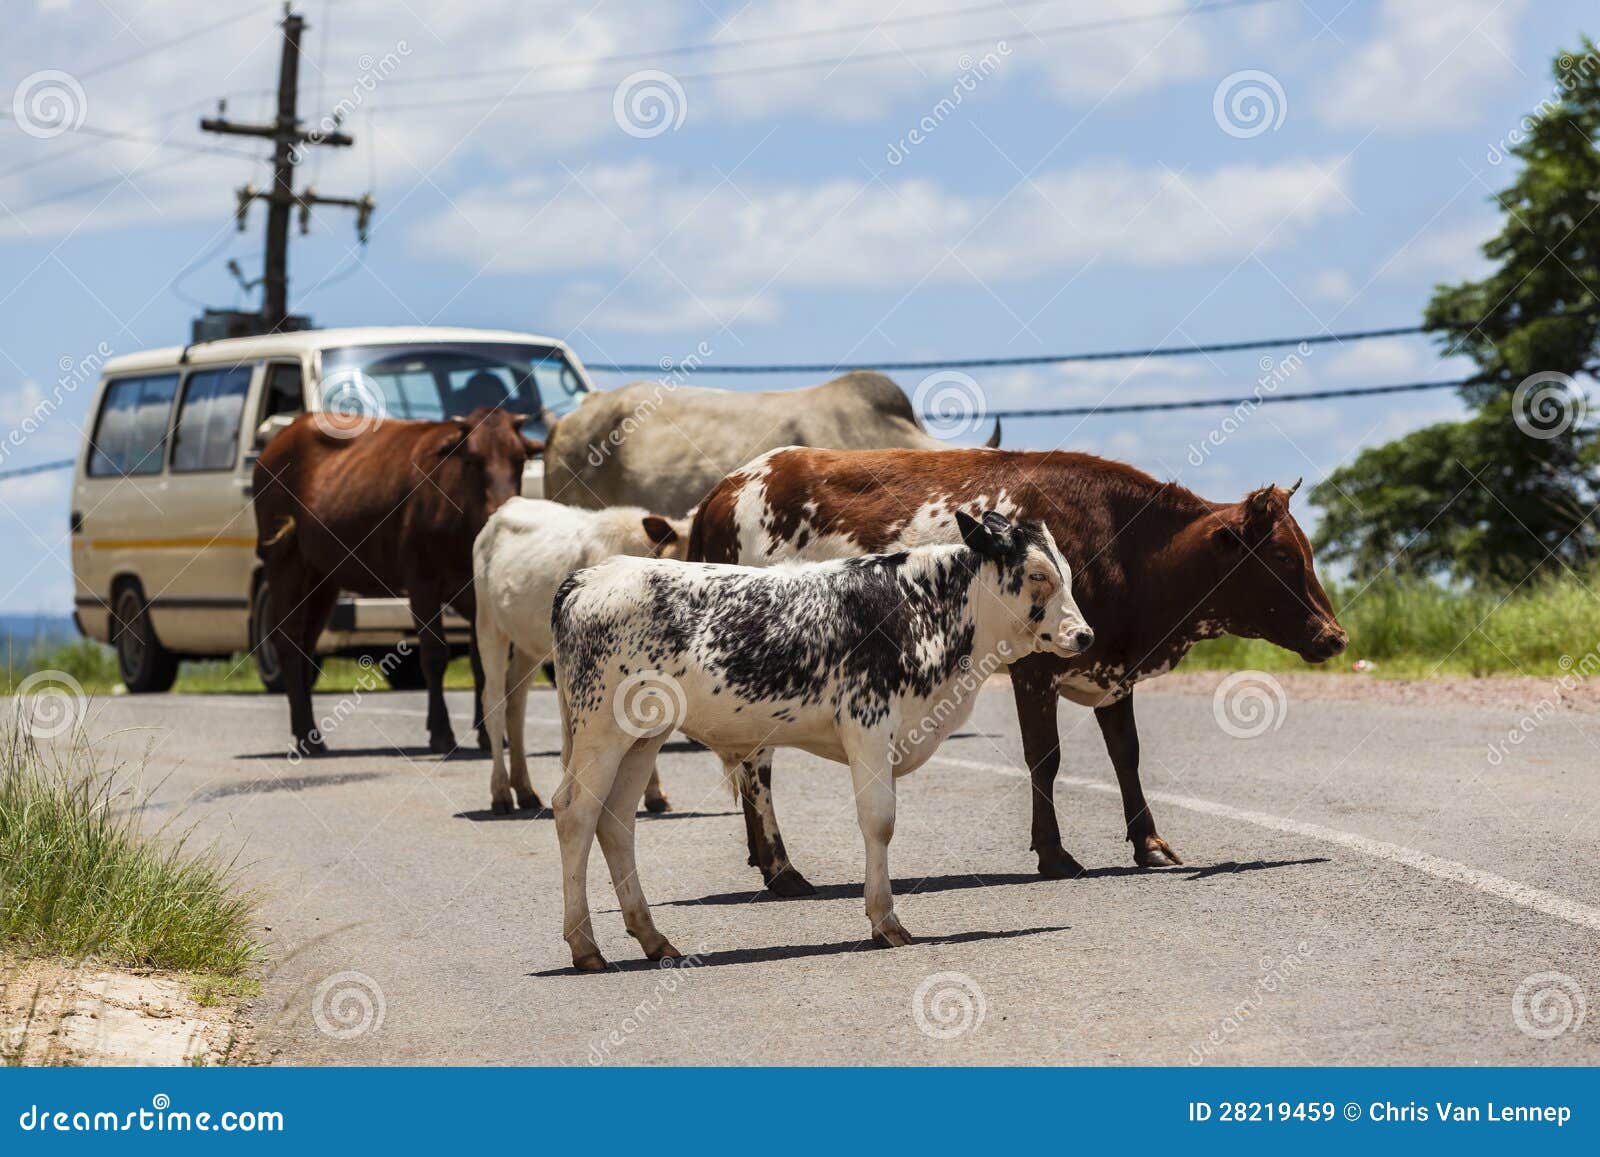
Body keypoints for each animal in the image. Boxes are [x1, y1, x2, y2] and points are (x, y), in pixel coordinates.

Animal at [253, 407, 539, 757]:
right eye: (472, 459)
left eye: (520, 459)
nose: (499, 509)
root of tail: (282, 436)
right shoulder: (422, 583)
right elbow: (434, 654)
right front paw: (441, 732)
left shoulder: (476, 595)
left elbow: (481, 661)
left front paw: (488, 735)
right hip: (285, 563)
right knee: (288, 642)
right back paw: (311, 736)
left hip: (323, 579)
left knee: (305, 646)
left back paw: (305, 733)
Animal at [473, 497, 693, 816]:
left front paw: (653, 793)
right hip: (489, 625)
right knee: (494, 701)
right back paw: (500, 792)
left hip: (529, 647)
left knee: (516, 701)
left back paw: (524, 790)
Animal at [549, 511, 1093, 970]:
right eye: (1038, 574)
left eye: (1065, 571)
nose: (1084, 635)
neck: (921, 608)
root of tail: (590, 577)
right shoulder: (869, 727)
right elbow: (879, 822)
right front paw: (886, 922)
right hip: (601, 731)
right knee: (576, 812)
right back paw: (585, 946)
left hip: (642, 739)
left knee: (616, 821)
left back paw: (652, 938)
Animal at [689, 446, 1348, 893]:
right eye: (1281, 556)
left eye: (1307, 551)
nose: (1336, 636)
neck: (1124, 545)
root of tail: (730, 485)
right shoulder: (1037, 666)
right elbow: (1045, 758)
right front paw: (1053, 854)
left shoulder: (1110, 670)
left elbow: (1127, 756)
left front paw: (1150, 844)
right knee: (758, 768)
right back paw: (782, 869)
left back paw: (768, 863)